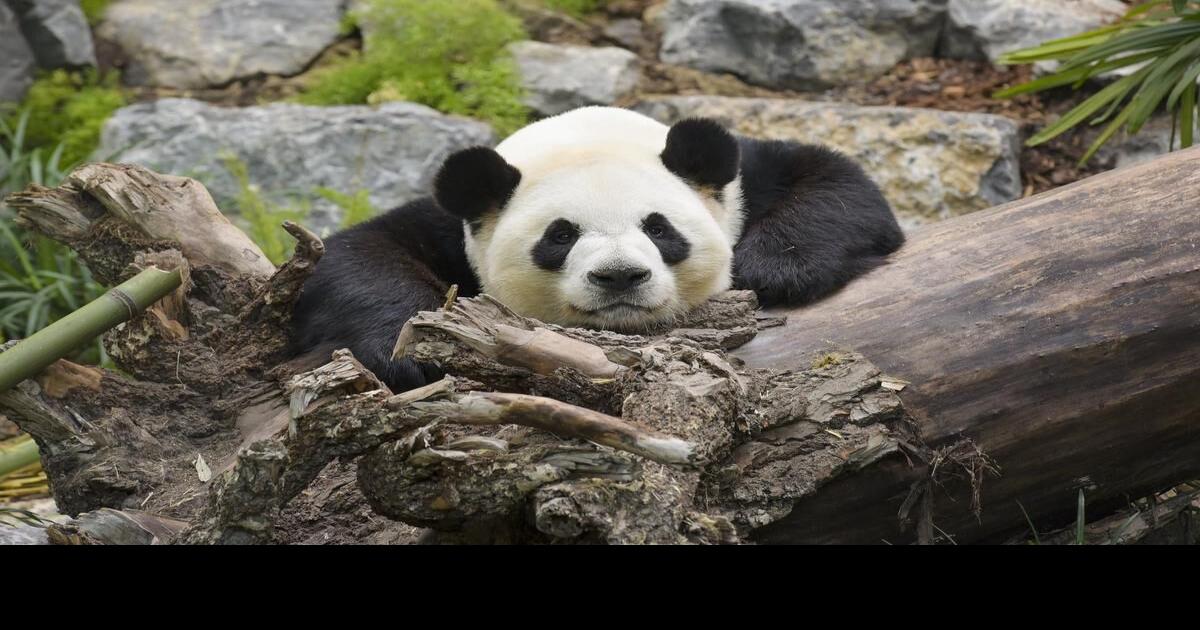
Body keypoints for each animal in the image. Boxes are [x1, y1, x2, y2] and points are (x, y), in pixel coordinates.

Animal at [290, 106, 904, 392]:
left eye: (659, 229)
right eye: (560, 236)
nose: (619, 276)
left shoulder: (746, 181)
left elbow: (838, 184)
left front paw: (772, 267)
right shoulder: (454, 229)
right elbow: (354, 256)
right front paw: (412, 351)